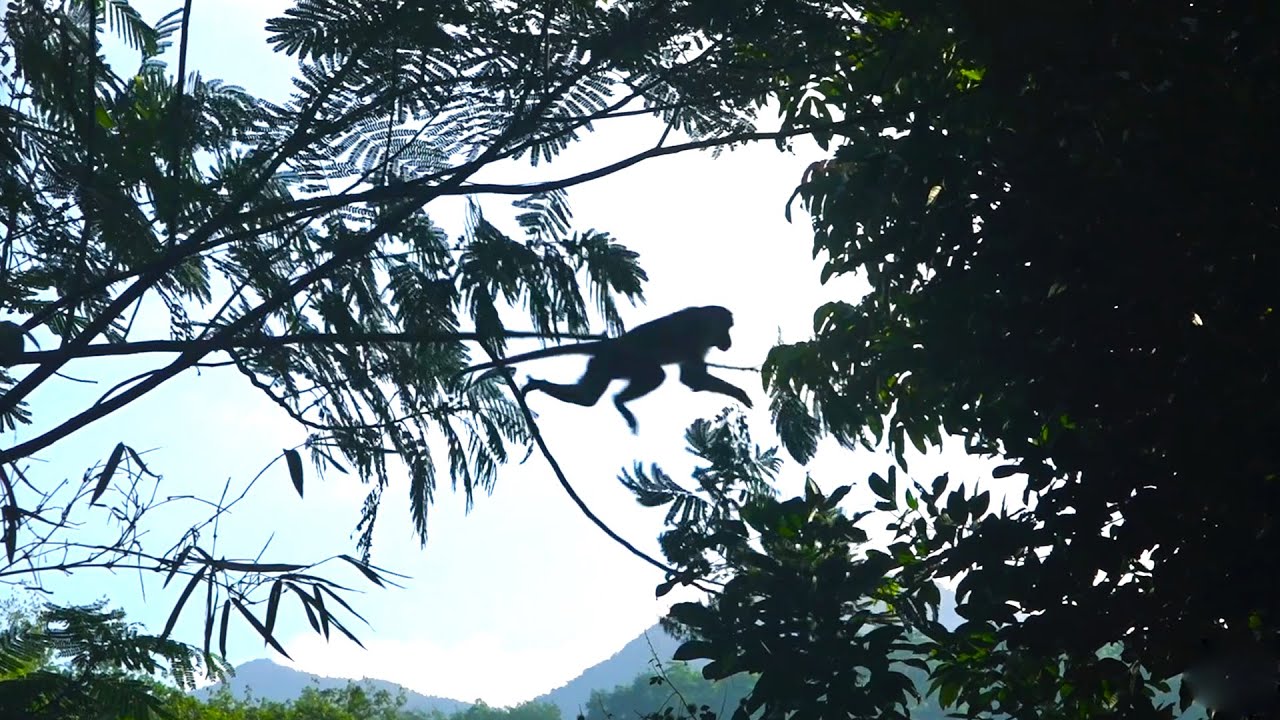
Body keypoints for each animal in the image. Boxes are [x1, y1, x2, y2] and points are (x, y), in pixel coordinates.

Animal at [458, 306, 753, 433]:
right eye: (727, 329)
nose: (728, 342)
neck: (704, 321)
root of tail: (612, 344)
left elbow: (694, 378)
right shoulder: (694, 335)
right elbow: (692, 378)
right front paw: (739, 393)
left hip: (602, 364)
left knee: (587, 397)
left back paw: (542, 385)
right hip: (623, 360)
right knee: (654, 375)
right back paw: (619, 402)